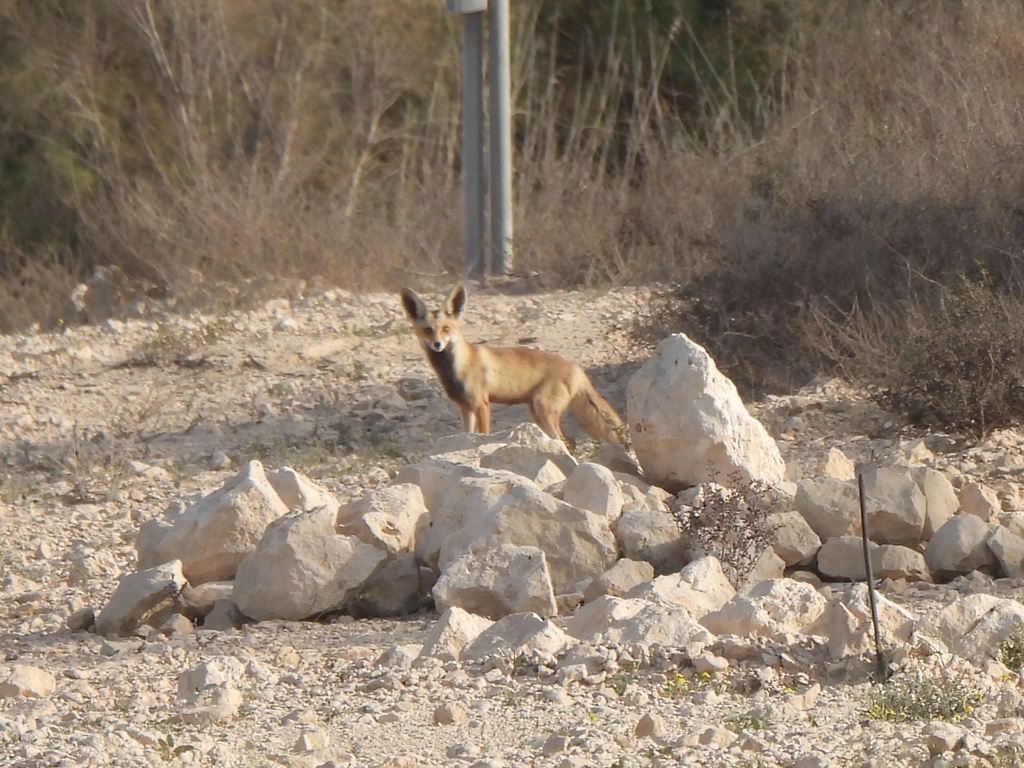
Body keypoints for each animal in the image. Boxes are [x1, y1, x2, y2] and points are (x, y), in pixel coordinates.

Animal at [400, 282, 628, 448]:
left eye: (446, 329)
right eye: (428, 330)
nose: (437, 345)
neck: (457, 368)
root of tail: (576, 368)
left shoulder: (482, 404)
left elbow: (484, 434)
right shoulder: (465, 408)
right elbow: (466, 434)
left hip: (543, 409)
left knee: (564, 440)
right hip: (535, 411)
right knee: (569, 440)